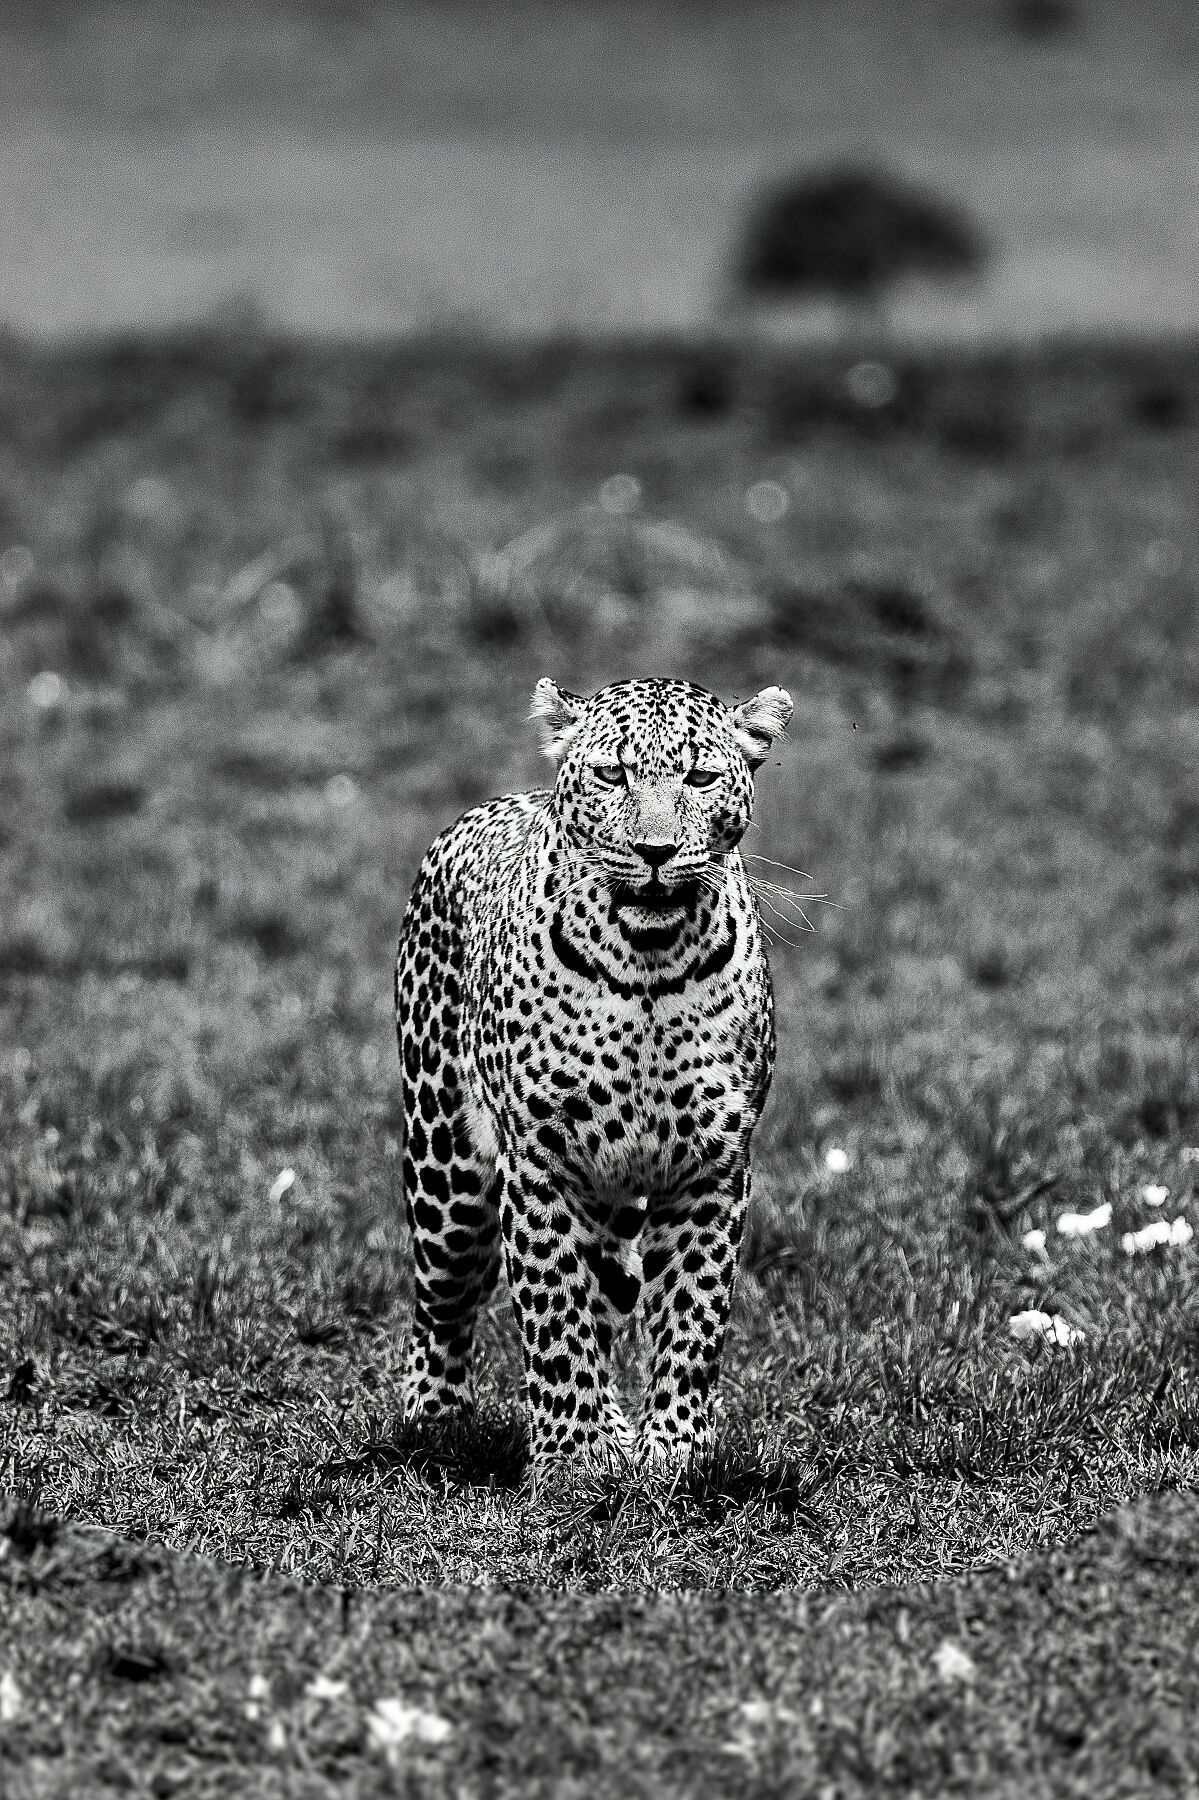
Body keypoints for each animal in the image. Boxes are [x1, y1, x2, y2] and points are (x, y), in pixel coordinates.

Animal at [395, 674, 793, 1465]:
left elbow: (692, 1317)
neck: (648, 962)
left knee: (607, 1292)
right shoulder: (541, 1164)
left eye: (700, 779)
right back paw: (435, 1415)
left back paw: (614, 1423)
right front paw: (572, 1456)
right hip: (445, 1169)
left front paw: (670, 1450)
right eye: (612, 775)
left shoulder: (711, 1169)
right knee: (442, 1302)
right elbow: (552, 1313)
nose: (654, 851)